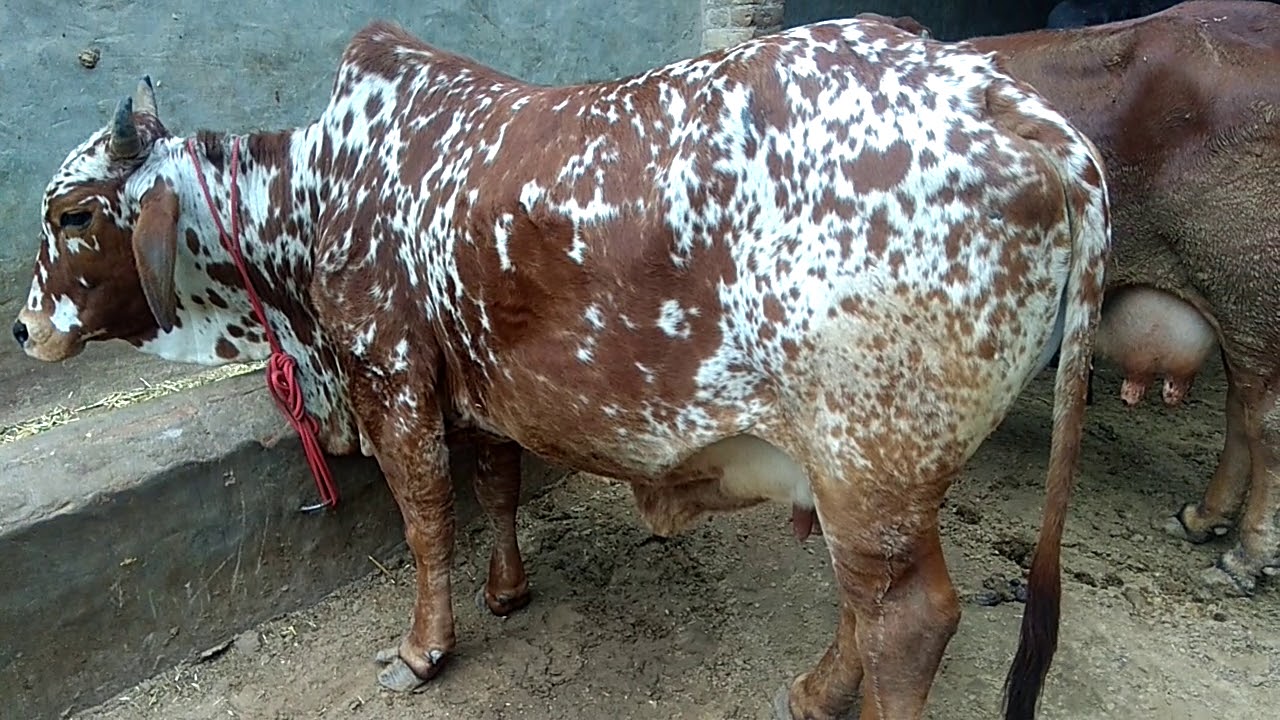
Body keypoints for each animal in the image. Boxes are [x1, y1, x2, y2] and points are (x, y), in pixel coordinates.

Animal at [11, 17, 1109, 720]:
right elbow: (495, 485)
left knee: (909, 623)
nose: (23, 331)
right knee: (867, 604)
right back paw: (810, 693)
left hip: (868, 457)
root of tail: (1013, 106)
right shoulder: (479, 387)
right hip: (863, 480)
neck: (320, 189)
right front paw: (506, 592)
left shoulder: (391, 377)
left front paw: (424, 649)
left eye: (73, 213)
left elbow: (424, 520)